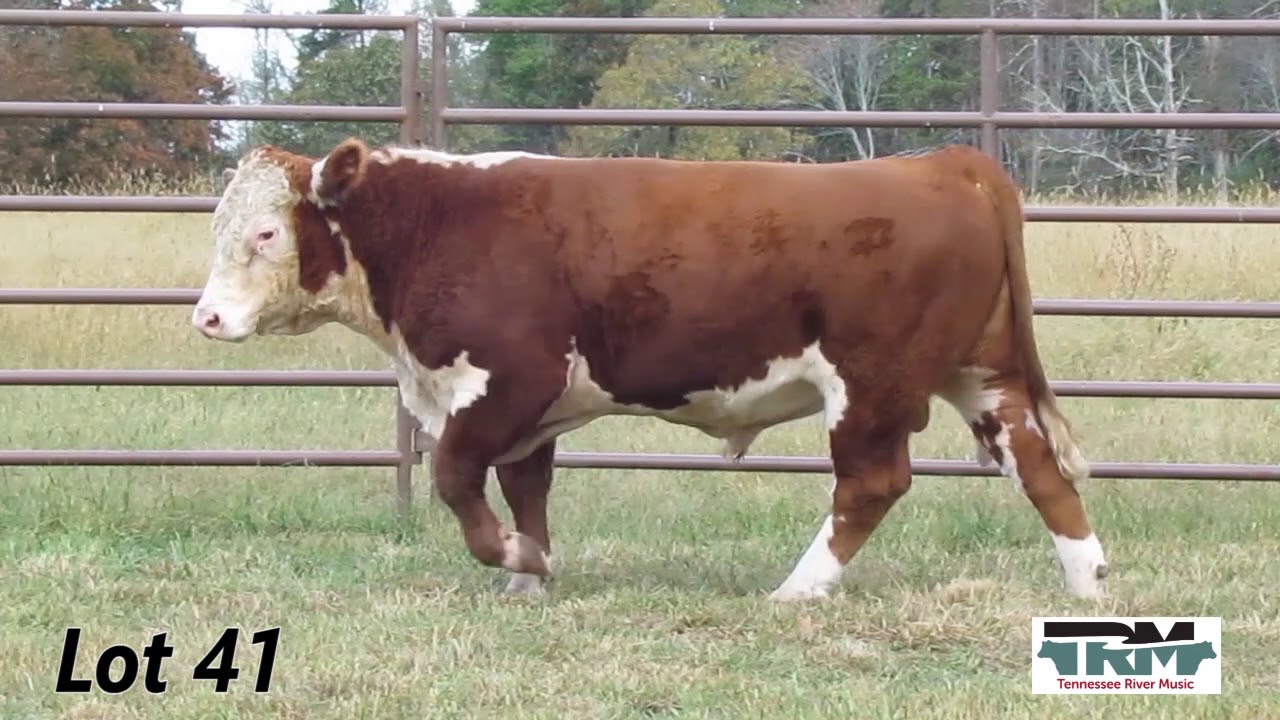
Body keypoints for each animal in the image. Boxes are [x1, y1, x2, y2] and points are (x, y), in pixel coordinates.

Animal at [192, 137, 1110, 602]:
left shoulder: (508, 380)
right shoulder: (531, 406)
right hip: (980, 371)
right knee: (1037, 466)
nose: (206, 318)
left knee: (871, 484)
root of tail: (947, 162)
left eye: (267, 232)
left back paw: (799, 589)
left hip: (874, 384)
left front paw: (518, 560)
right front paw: (534, 571)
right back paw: (1088, 583)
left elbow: (456, 478)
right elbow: (527, 484)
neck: (434, 221)